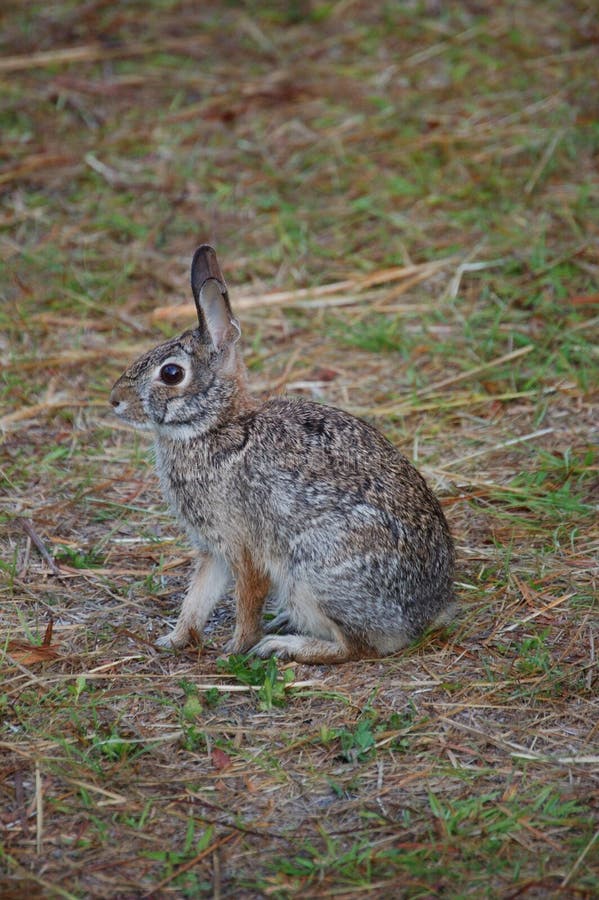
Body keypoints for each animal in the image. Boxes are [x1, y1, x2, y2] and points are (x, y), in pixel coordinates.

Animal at [110, 245, 455, 664]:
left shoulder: (245, 547)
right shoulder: (214, 549)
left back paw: (282, 644)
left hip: (315, 573)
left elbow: (247, 600)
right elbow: (197, 598)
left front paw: (232, 652)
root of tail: (427, 613)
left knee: (355, 648)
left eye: (171, 374)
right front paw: (174, 640)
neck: (218, 427)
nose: (114, 400)